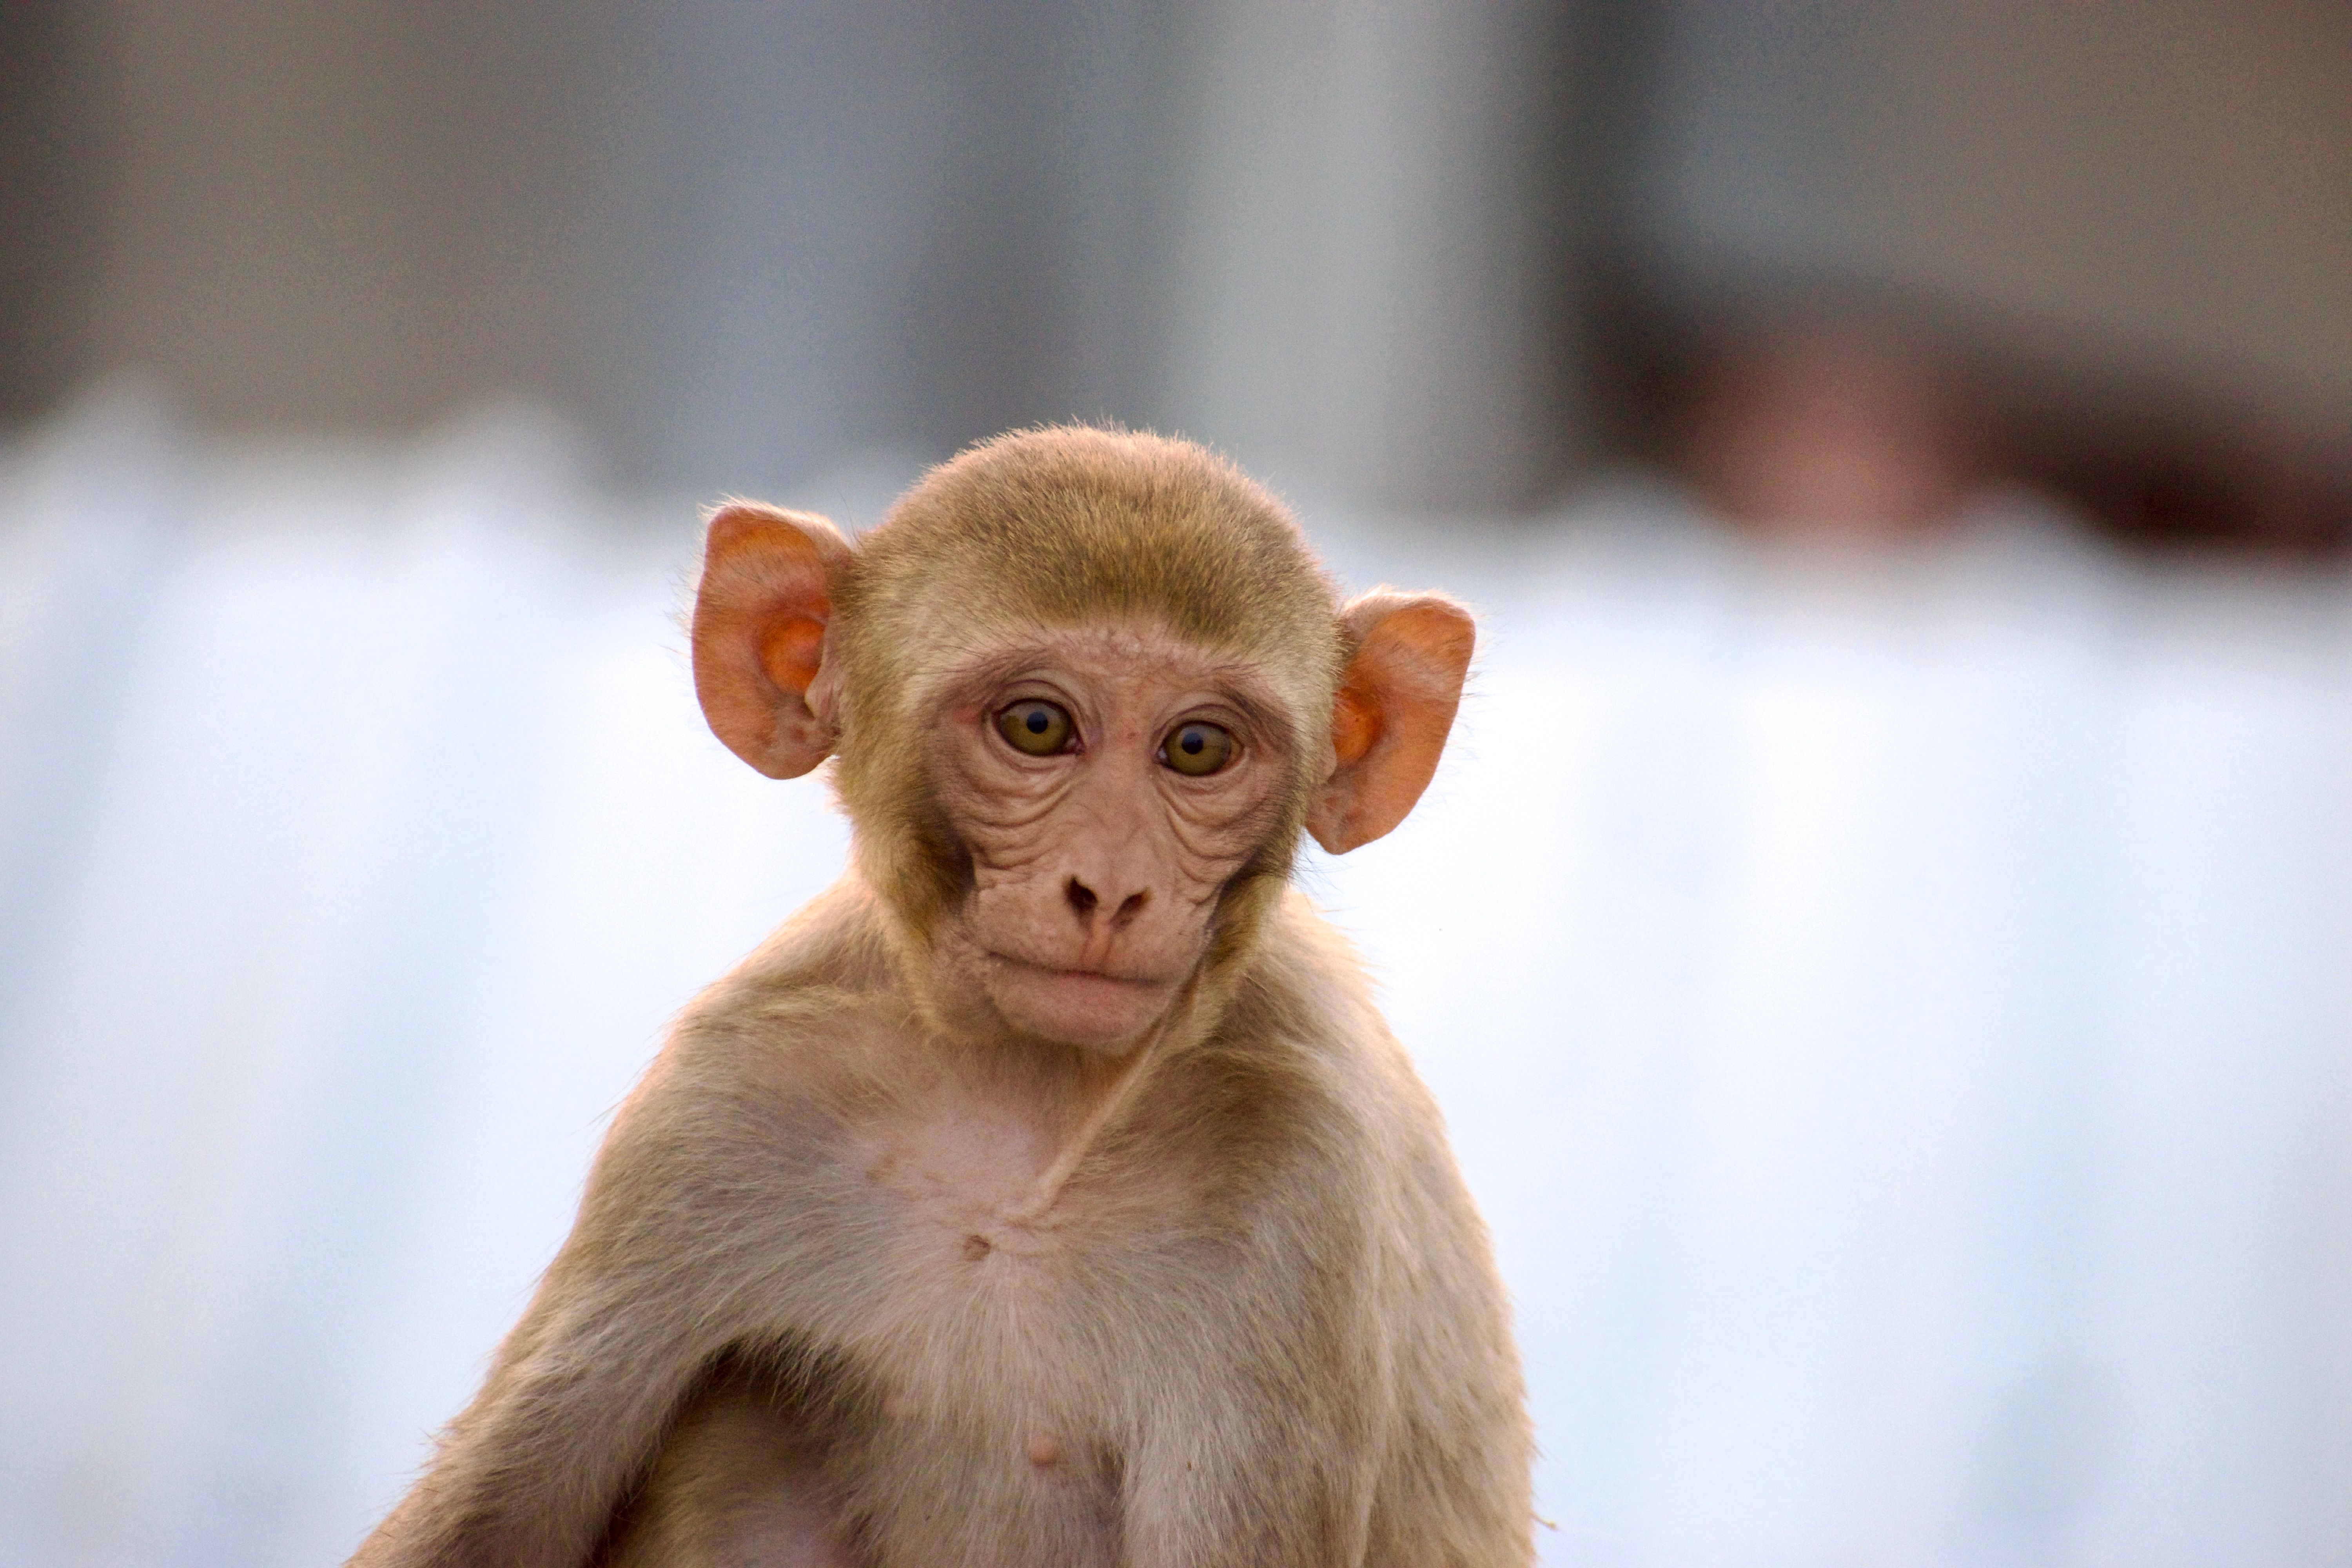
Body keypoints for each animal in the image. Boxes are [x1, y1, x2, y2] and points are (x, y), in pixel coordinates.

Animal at [348, 427, 1532, 1567]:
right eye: (1038, 728)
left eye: (1197, 748)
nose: (1113, 887)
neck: (1021, 1113)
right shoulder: (722, 1101)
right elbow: (489, 1521)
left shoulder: (1305, 1183)